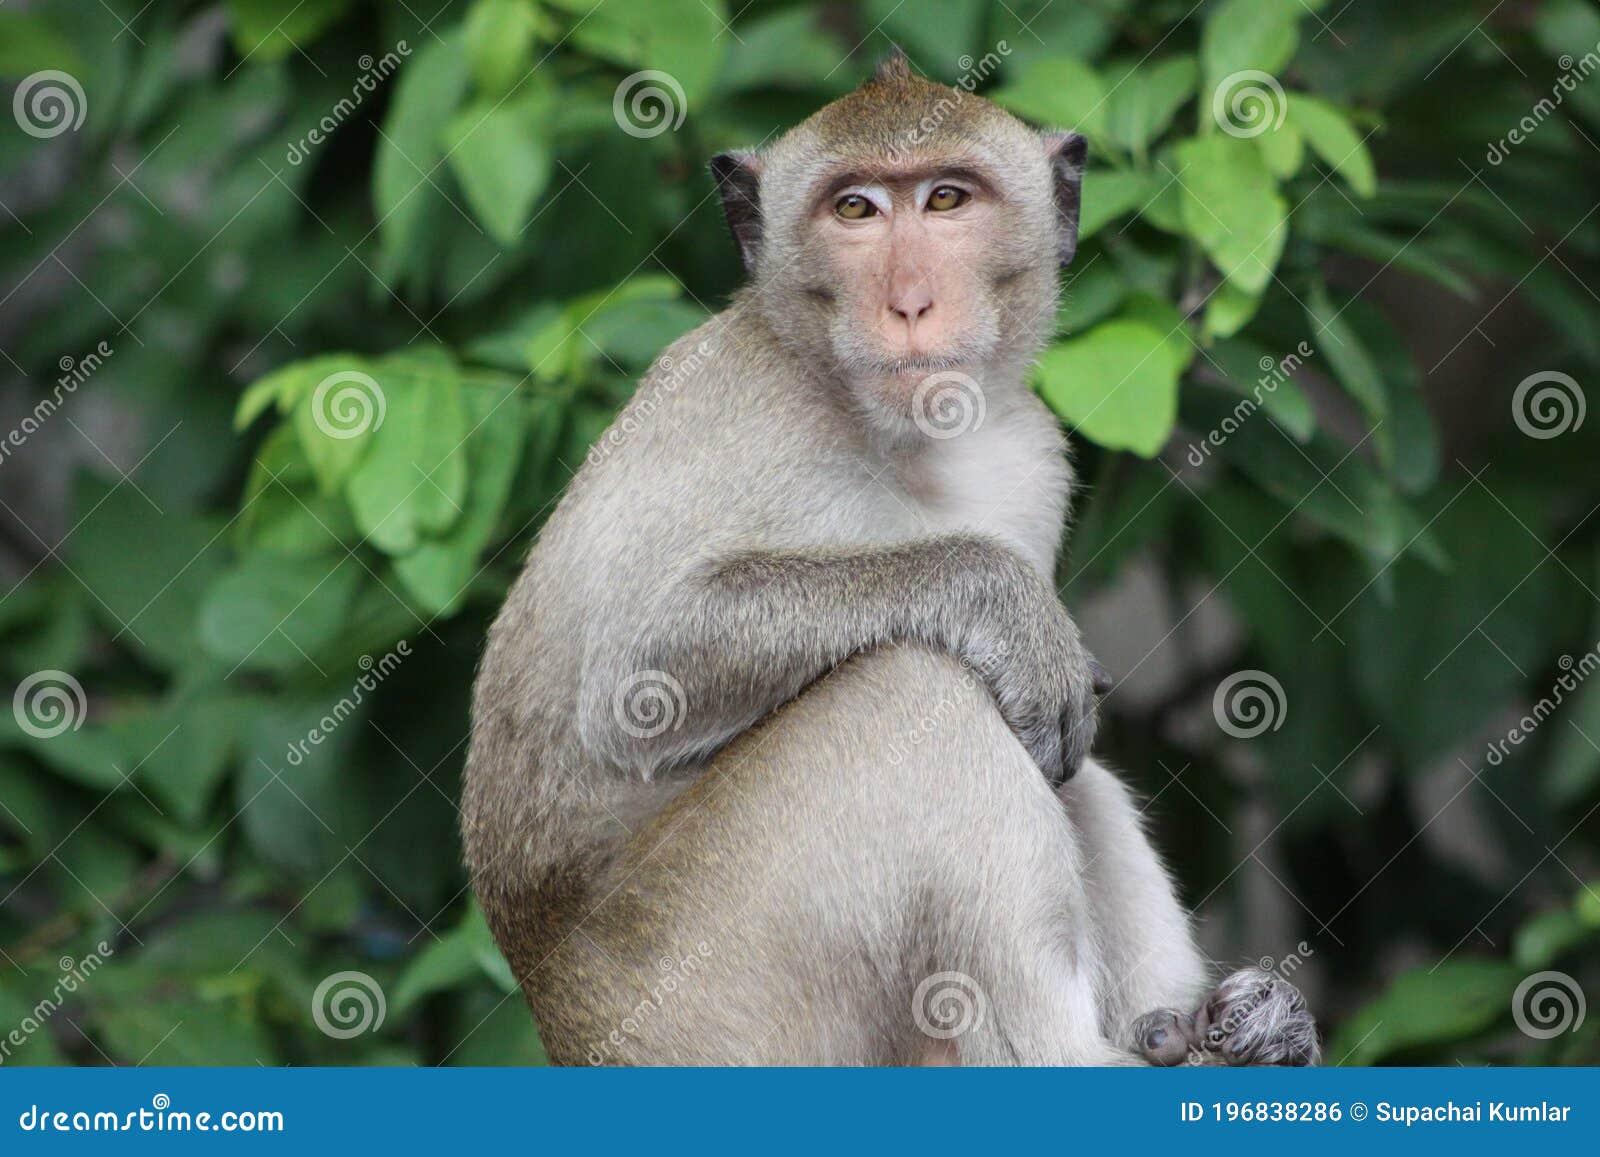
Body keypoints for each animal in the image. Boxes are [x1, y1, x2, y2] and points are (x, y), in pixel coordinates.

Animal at [461, 51, 1318, 1066]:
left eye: (946, 199)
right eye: (856, 210)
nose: (909, 302)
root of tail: (561, 1014)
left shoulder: (1032, 453)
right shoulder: (741, 407)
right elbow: (638, 675)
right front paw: (1001, 601)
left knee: (1065, 767)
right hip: (710, 1000)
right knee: (907, 688)